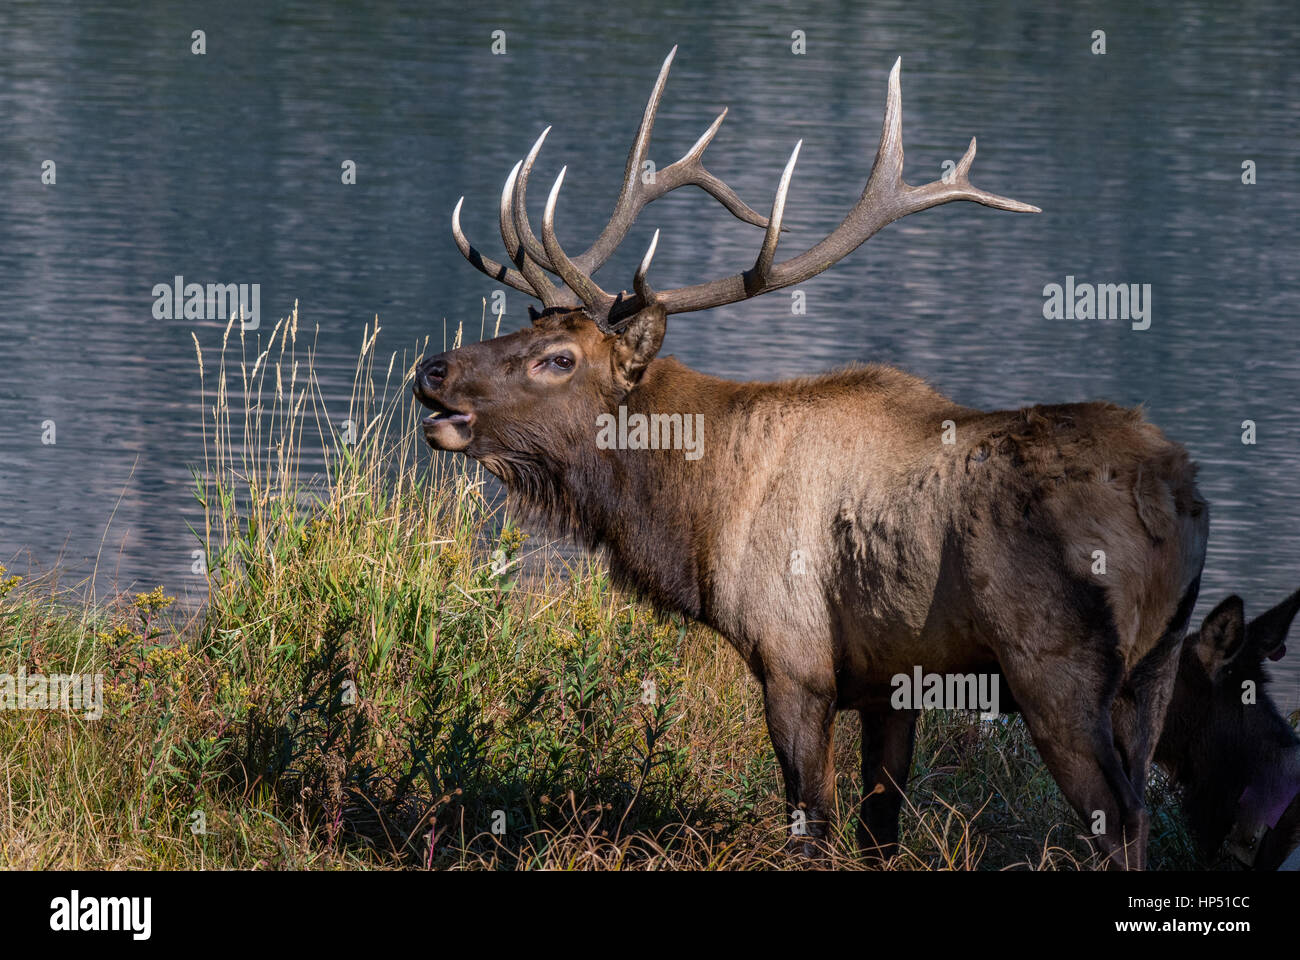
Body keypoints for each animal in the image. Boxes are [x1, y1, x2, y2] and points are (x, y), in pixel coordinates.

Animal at [415, 48, 1209, 869]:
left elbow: (813, 824)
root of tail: (1178, 498)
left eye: (559, 359)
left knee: (1121, 819)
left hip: (1057, 667)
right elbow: (879, 828)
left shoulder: (793, 661)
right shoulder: (893, 682)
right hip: (1157, 668)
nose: (431, 369)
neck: (698, 514)